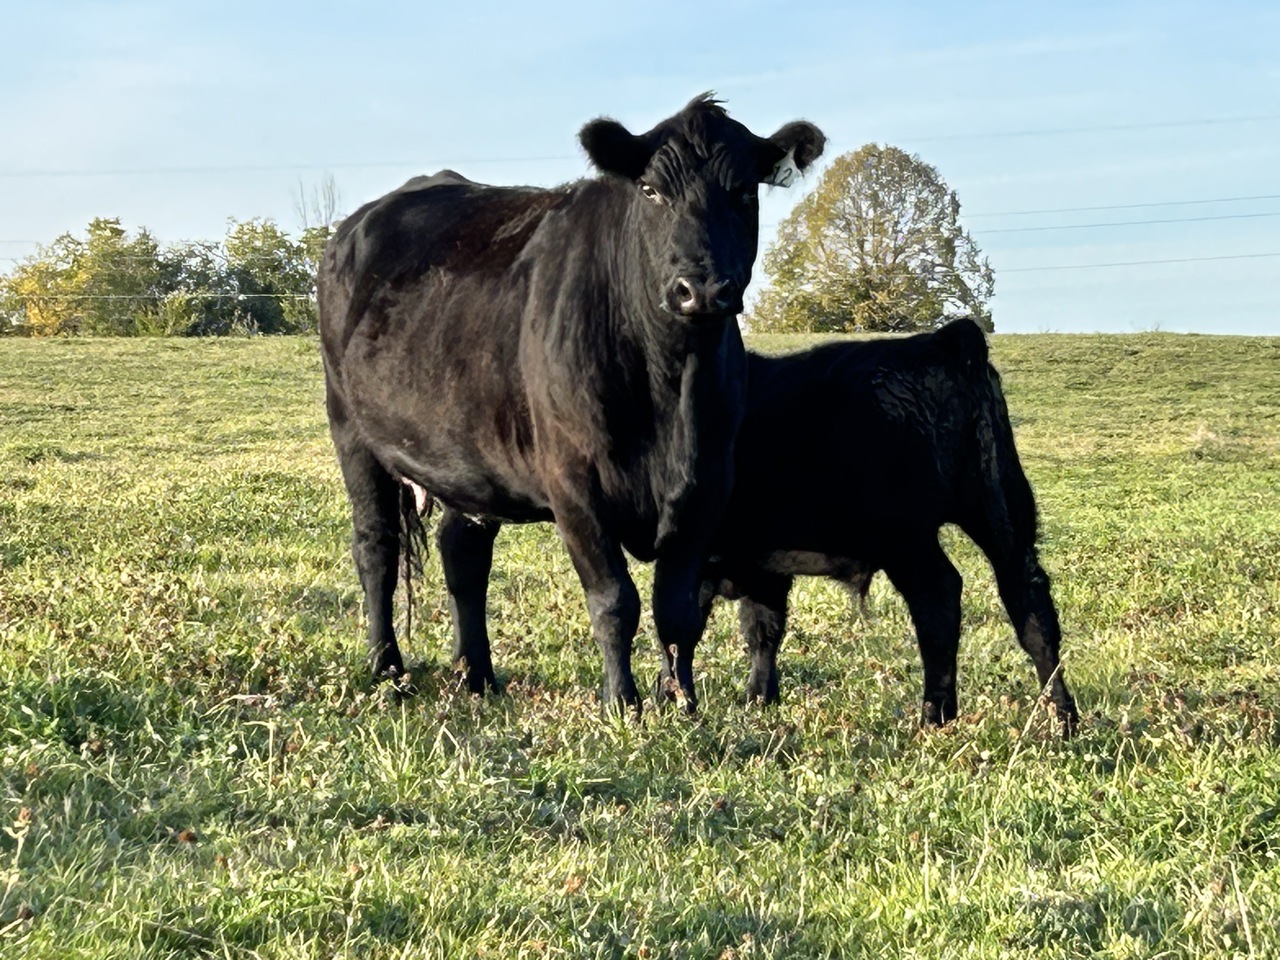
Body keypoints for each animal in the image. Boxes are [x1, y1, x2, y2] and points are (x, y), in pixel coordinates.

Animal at [317, 94, 825, 714]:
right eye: (650, 190)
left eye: (745, 191)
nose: (702, 289)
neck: (672, 387)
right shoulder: (574, 483)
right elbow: (614, 601)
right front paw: (622, 704)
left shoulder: (707, 484)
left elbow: (677, 608)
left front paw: (681, 702)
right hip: (351, 430)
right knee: (376, 548)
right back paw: (388, 669)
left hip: (467, 451)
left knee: (462, 553)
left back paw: (476, 674)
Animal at [701, 318, 1079, 732]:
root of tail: (943, 340)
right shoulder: (763, 566)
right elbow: (763, 629)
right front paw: (758, 701)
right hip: (1001, 511)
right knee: (1030, 605)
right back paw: (1062, 718)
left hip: (905, 537)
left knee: (939, 596)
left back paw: (934, 715)